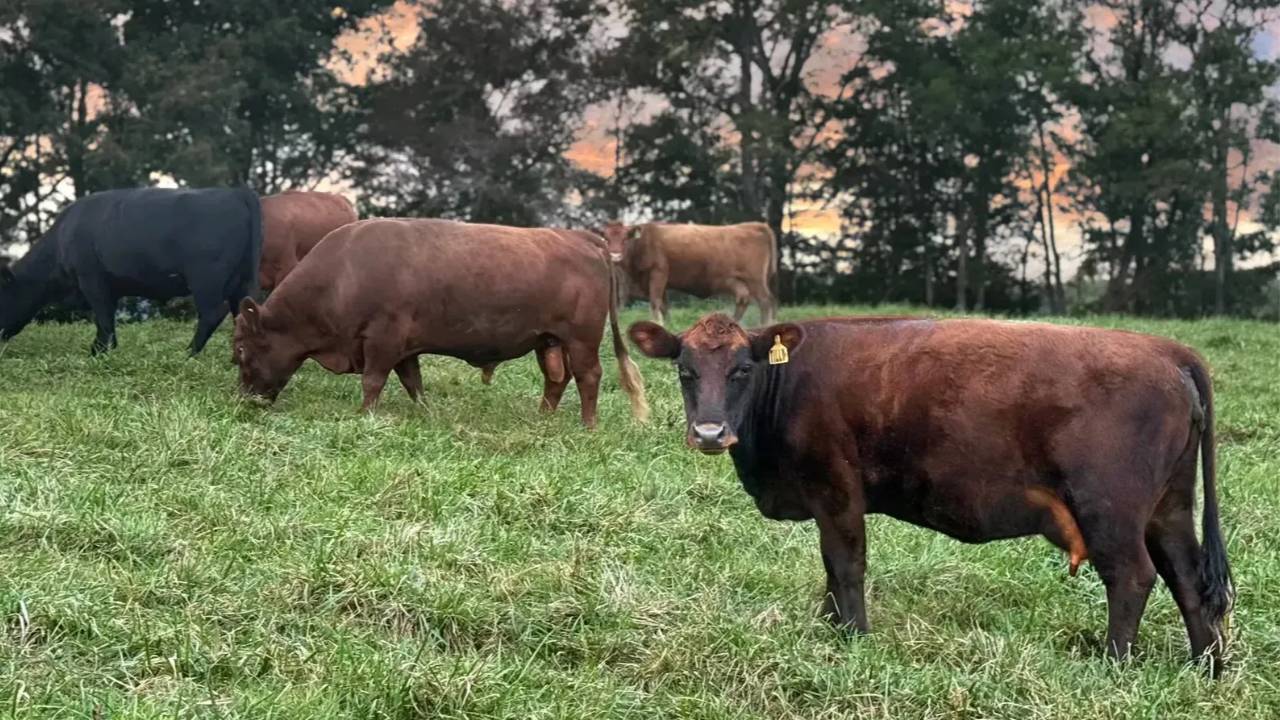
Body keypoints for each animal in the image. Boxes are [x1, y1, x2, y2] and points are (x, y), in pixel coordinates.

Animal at [0, 187, 262, 355]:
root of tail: (235, 193)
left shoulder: (92, 280)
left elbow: (103, 317)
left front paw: (99, 352)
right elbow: (107, 318)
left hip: (207, 280)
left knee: (212, 313)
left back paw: (188, 353)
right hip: (242, 281)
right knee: (245, 311)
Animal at [233, 218, 649, 427]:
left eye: (240, 350)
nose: (244, 402)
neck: (343, 273)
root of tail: (583, 238)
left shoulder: (383, 338)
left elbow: (373, 381)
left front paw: (364, 415)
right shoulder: (403, 347)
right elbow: (412, 382)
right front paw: (426, 412)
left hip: (581, 339)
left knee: (588, 376)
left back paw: (588, 425)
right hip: (549, 341)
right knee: (556, 379)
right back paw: (543, 419)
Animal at [602, 221, 777, 327]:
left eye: (625, 239)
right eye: (607, 239)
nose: (615, 256)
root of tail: (753, 225)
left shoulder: (658, 273)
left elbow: (655, 302)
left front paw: (658, 323)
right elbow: (663, 305)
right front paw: (668, 325)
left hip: (755, 280)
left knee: (765, 301)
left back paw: (764, 326)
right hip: (734, 281)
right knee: (743, 298)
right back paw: (732, 323)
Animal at [628, 313, 1233, 674]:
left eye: (742, 368)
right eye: (684, 370)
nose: (709, 432)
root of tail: (1165, 350)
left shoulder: (837, 491)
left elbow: (845, 564)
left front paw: (853, 638)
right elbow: (831, 570)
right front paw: (829, 628)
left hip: (1111, 510)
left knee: (1133, 576)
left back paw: (1113, 663)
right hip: (1169, 508)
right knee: (1188, 578)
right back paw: (1205, 665)